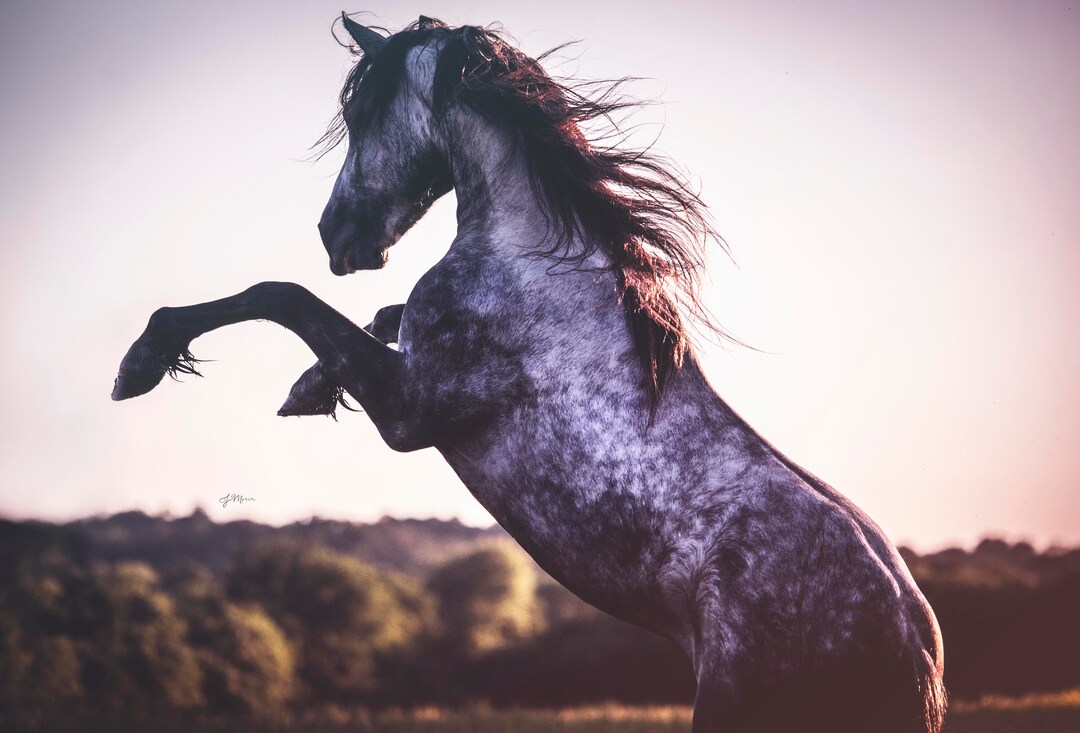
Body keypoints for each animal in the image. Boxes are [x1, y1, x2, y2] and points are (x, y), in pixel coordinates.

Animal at [112, 15, 946, 732]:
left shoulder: (409, 410)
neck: (530, 256)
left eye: (361, 117)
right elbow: (377, 315)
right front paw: (308, 389)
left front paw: (140, 361)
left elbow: (281, 295)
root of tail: (916, 652)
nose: (334, 235)